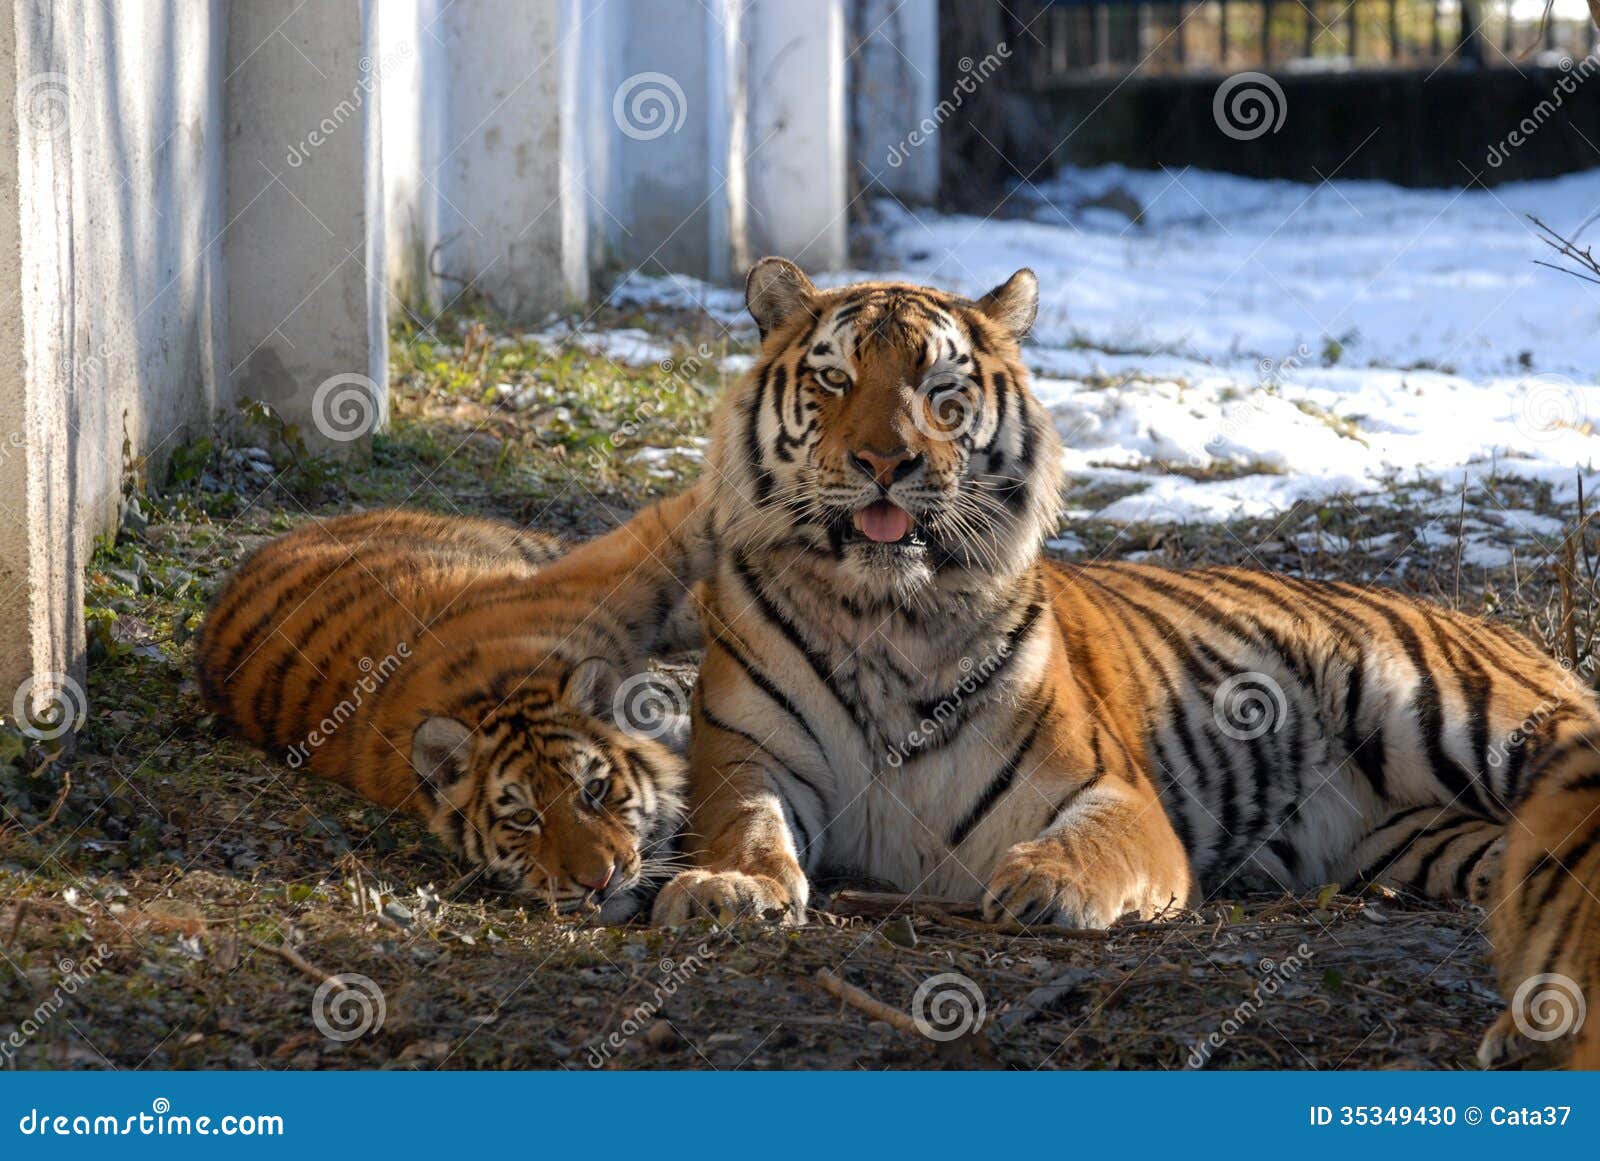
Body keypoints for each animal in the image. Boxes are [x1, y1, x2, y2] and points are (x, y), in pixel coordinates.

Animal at [649, 259, 1600, 1065]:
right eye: (835, 379)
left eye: (940, 389)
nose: (888, 460)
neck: (886, 613)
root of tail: (1504, 630)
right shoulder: (747, 759)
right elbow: (747, 825)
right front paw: (725, 888)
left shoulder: (1109, 790)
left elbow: (1094, 841)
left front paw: (1047, 882)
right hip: (1426, 842)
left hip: (1476, 720)